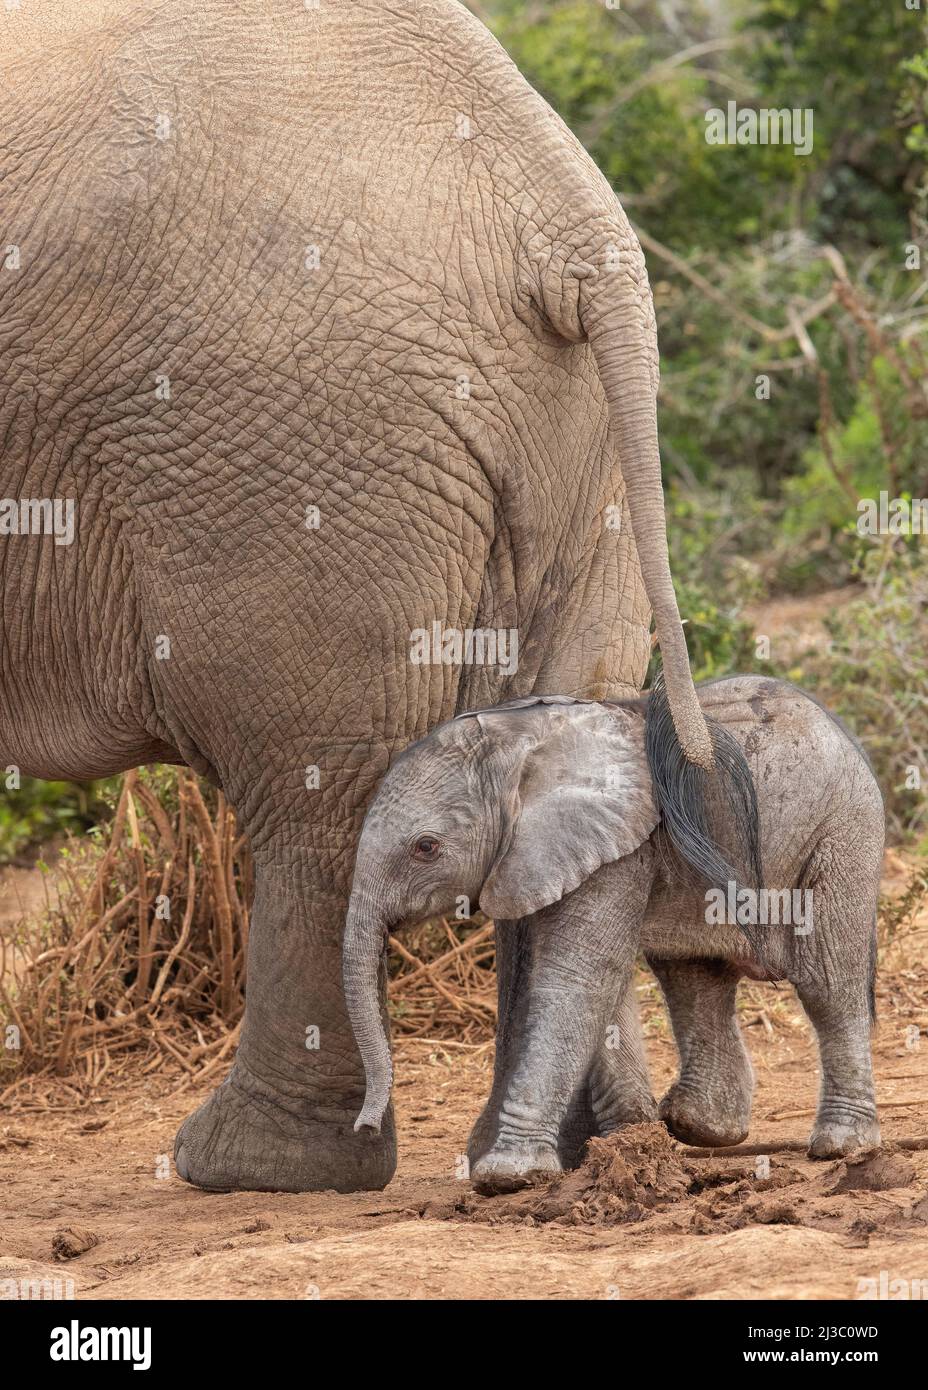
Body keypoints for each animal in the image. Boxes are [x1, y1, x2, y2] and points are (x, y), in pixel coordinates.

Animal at [2, 0, 723, 1193]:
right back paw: (582, 1148)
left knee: (318, 793)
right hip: (577, 456)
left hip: (287, 433)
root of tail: (565, 218)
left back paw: (247, 1165)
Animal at [343, 676, 884, 1190]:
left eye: (426, 848)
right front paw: (630, 1141)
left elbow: (575, 979)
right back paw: (697, 1127)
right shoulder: (551, 854)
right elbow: (597, 981)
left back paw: (841, 1145)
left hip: (841, 831)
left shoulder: (614, 848)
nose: (364, 1128)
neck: (521, 743)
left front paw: (509, 1175)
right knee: (694, 976)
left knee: (827, 982)